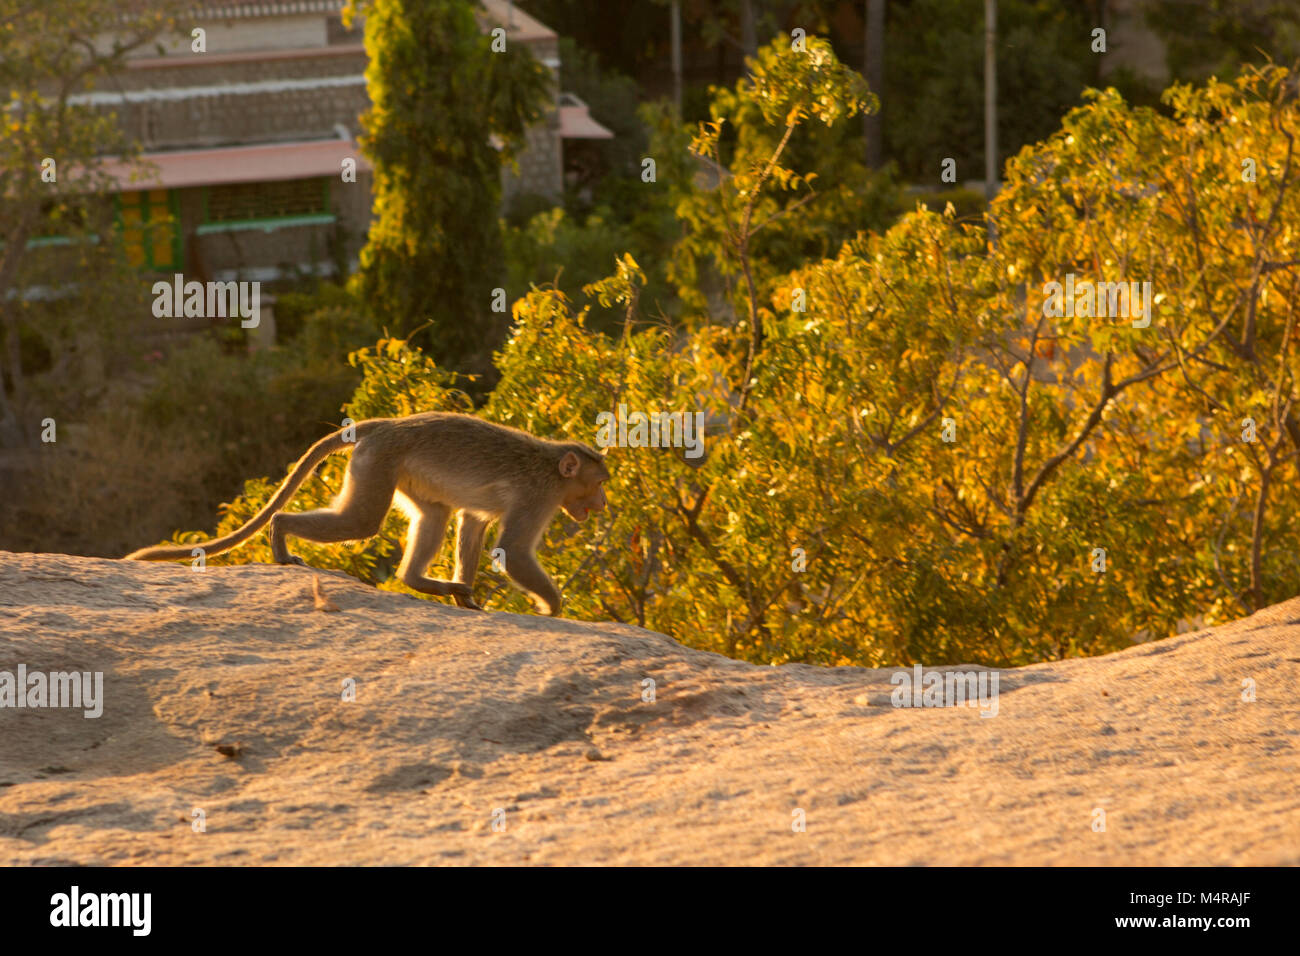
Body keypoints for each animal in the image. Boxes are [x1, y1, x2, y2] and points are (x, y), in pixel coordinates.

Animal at [125, 412, 610, 616]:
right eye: (599, 483)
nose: (603, 504)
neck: (553, 466)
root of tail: (386, 425)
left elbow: (471, 525)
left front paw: (466, 597)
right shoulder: (539, 496)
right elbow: (511, 549)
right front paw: (552, 606)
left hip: (398, 470)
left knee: (434, 514)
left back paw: (419, 582)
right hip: (378, 462)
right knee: (362, 522)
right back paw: (281, 535)